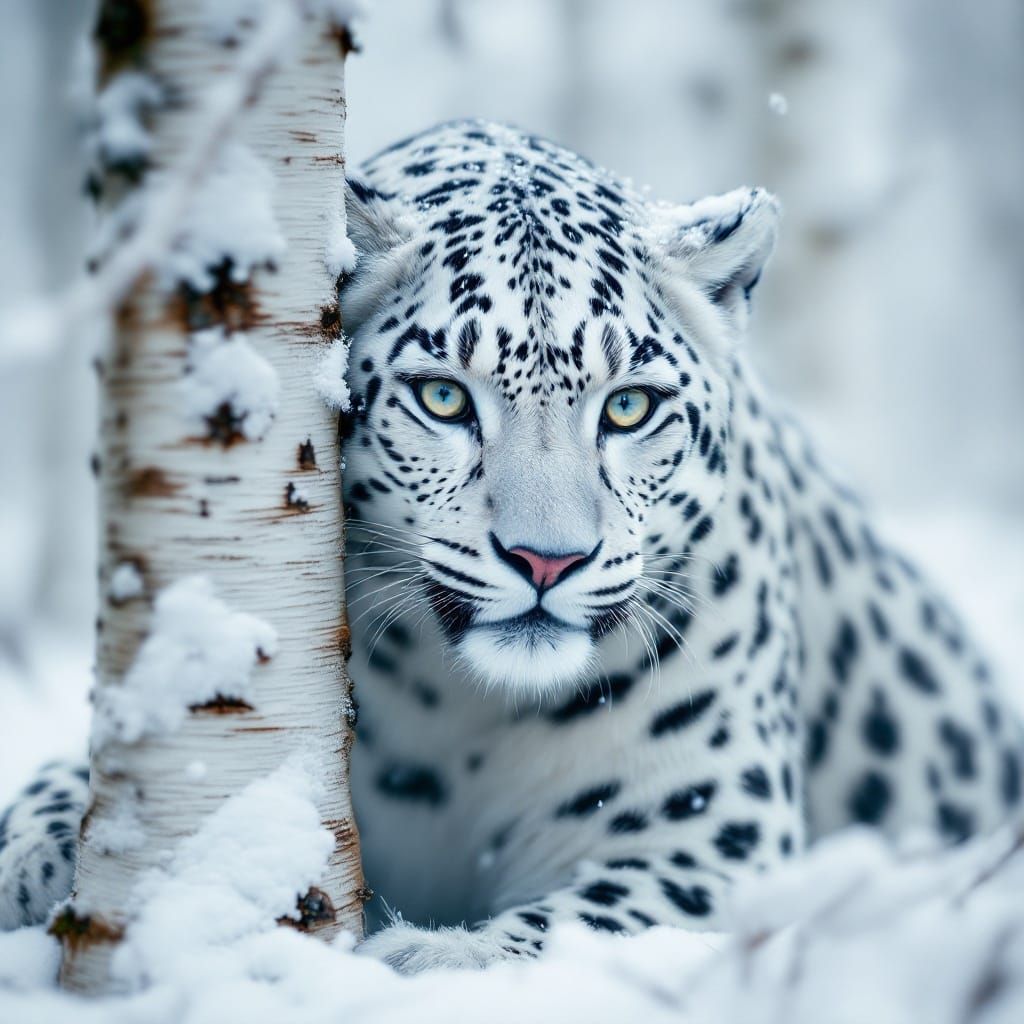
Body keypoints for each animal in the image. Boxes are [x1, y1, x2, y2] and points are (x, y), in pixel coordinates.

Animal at [2, 121, 1021, 974]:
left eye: (628, 407)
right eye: (444, 397)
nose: (546, 562)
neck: (460, 720)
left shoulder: (709, 840)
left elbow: (588, 923)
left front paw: (425, 958)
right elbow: (56, 791)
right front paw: (31, 871)